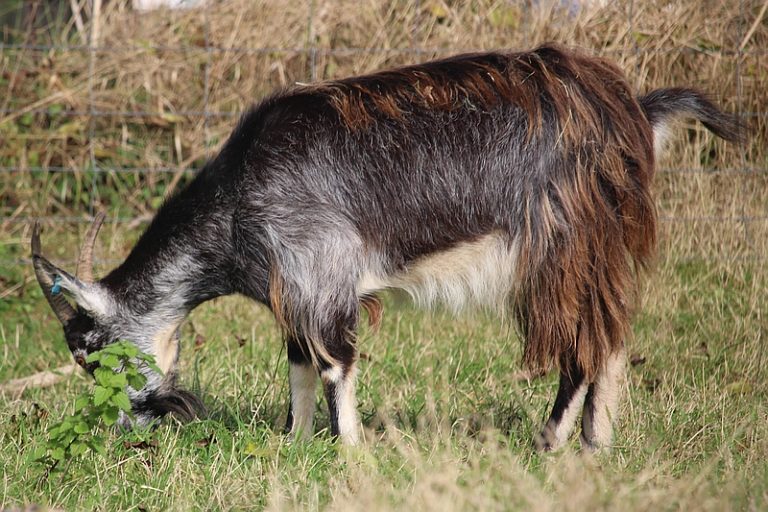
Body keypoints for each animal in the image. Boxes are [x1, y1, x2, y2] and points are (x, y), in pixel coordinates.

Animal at [32, 44, 742, 450]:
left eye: (91, 354)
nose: (130, 432)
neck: (238, 200)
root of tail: (631, 109)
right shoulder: (294, 287)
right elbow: (297, 363)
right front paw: (293, 443)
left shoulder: (319, 271)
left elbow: (333, 364)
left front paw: (347, 452)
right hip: (594, 250)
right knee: (613, 337)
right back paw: (597, 445)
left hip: (564, 246)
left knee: (583, 341)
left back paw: (550, 441)